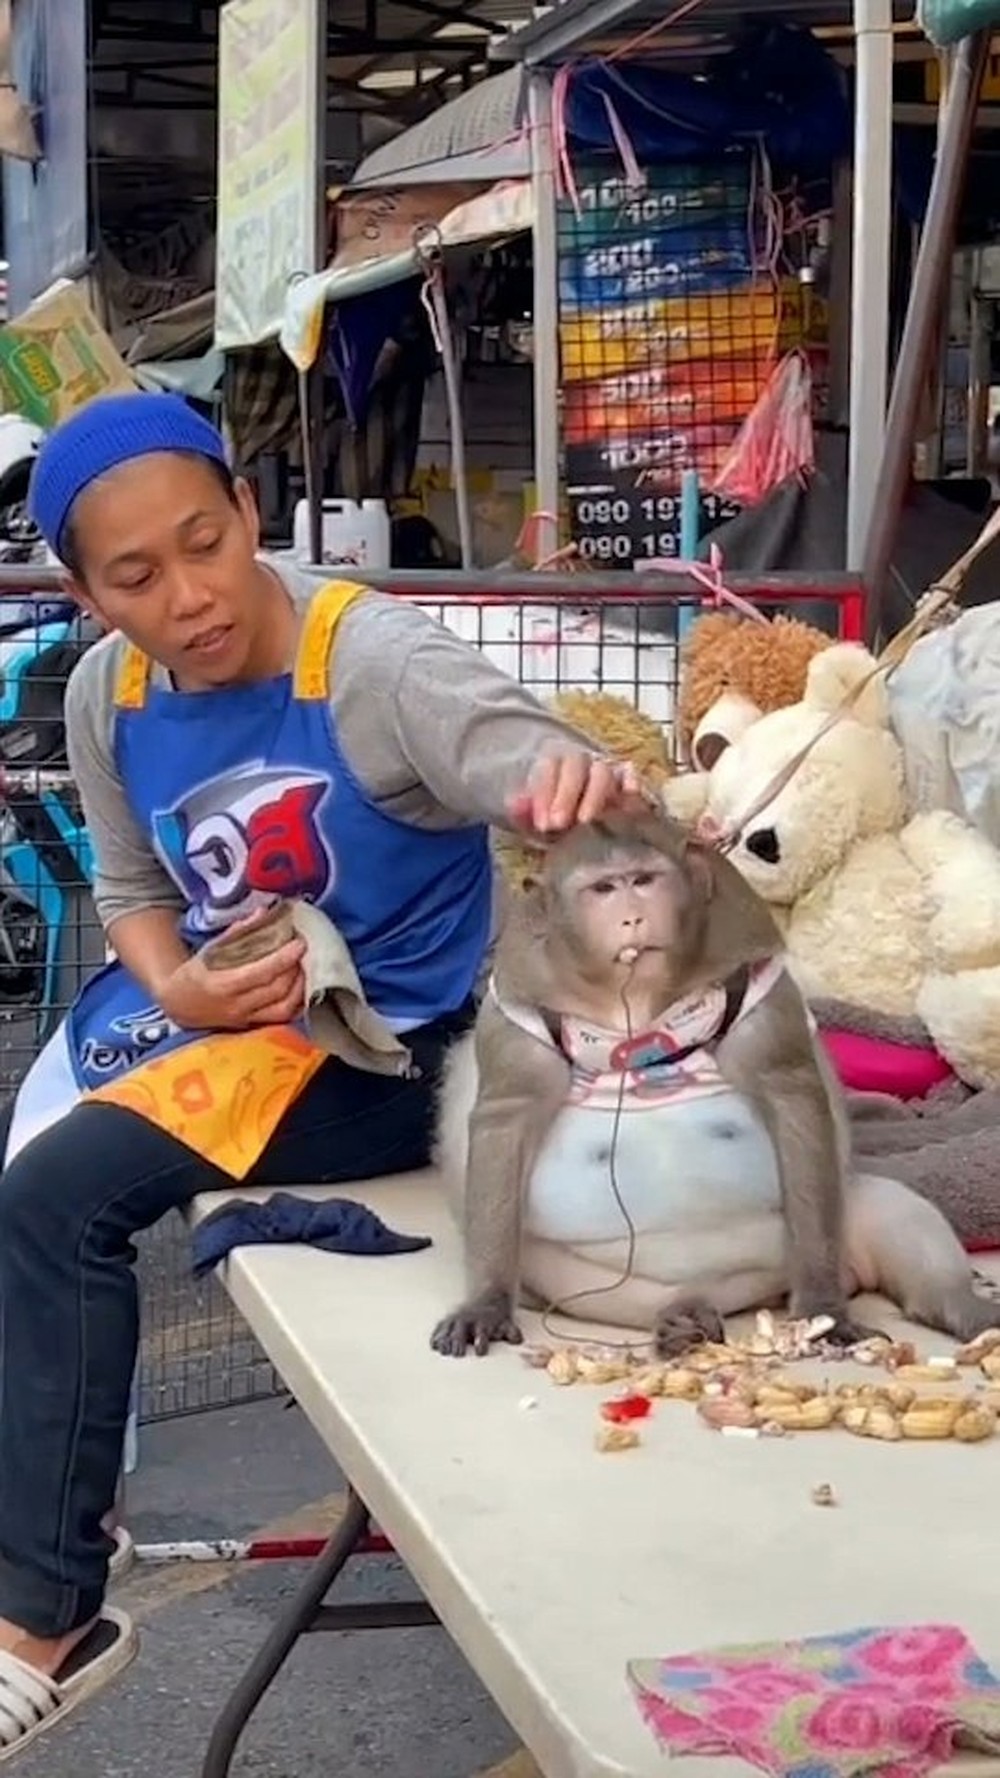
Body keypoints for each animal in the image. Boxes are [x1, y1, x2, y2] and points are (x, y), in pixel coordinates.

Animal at [430, 809, 1000, 1359]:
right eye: (604, 889)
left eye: (643, 880)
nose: (632, 917)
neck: (633, 1005)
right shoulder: (516, 1012)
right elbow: (506, 1122)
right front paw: (486, 1303)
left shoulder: (756, 980)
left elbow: (793, 1099)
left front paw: (822, 1308)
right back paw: (682, 1325)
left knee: (883, 1207)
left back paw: (963, 1309)